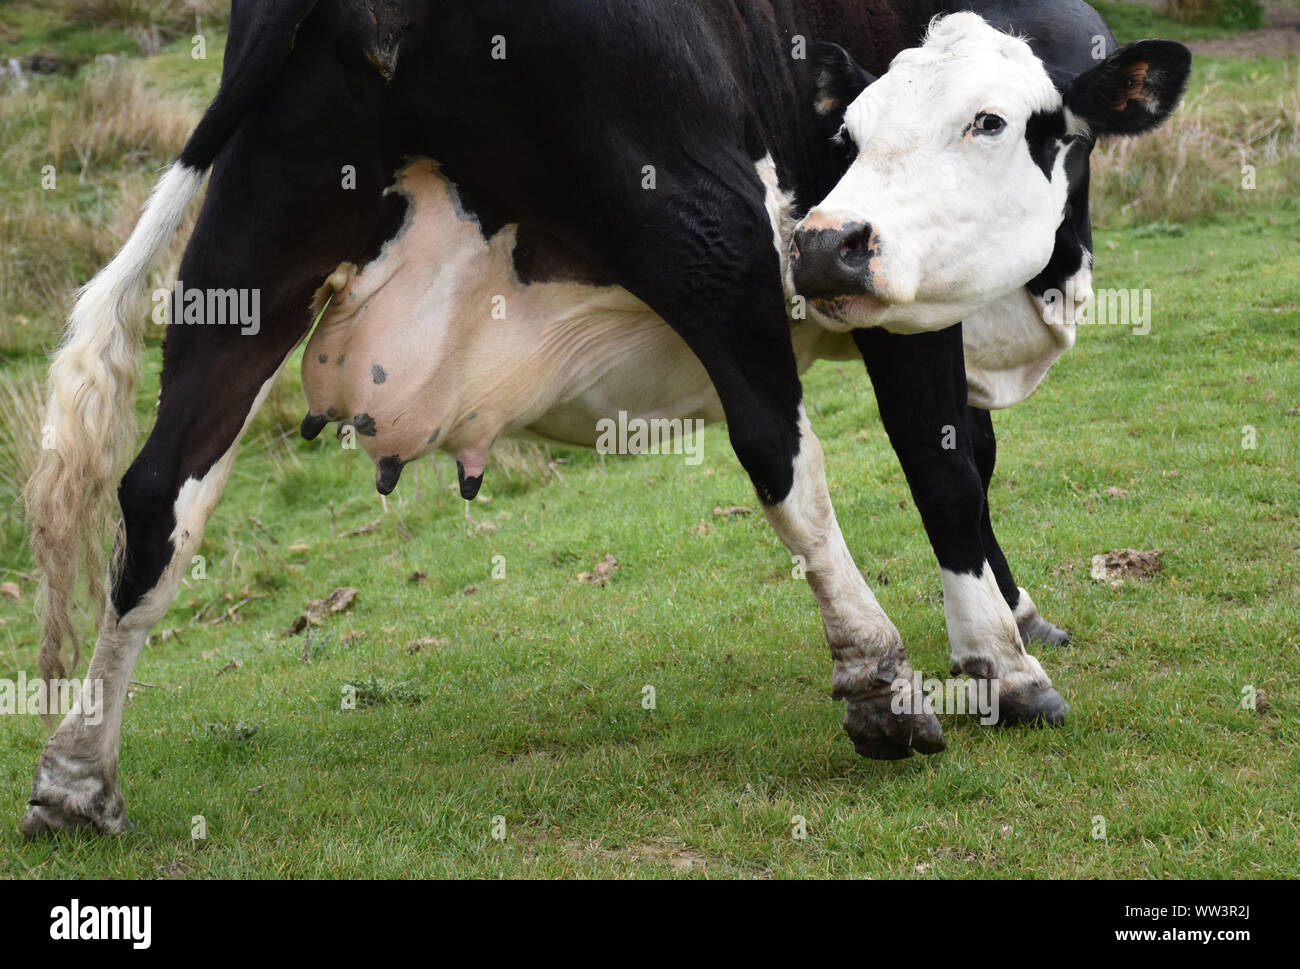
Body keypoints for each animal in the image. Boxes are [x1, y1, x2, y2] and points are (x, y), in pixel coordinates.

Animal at [21, 0, 1189, 835]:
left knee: (157, 500)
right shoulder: (905, 296)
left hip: (253, 240)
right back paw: (877, 678)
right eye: (850, 133)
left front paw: (1016, 612)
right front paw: (1001, 661)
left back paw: (76, 776)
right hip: (711, 227)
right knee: (779, 452)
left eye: (989, 121)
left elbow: (973, 459)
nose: (824, 242)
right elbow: (945, 463)